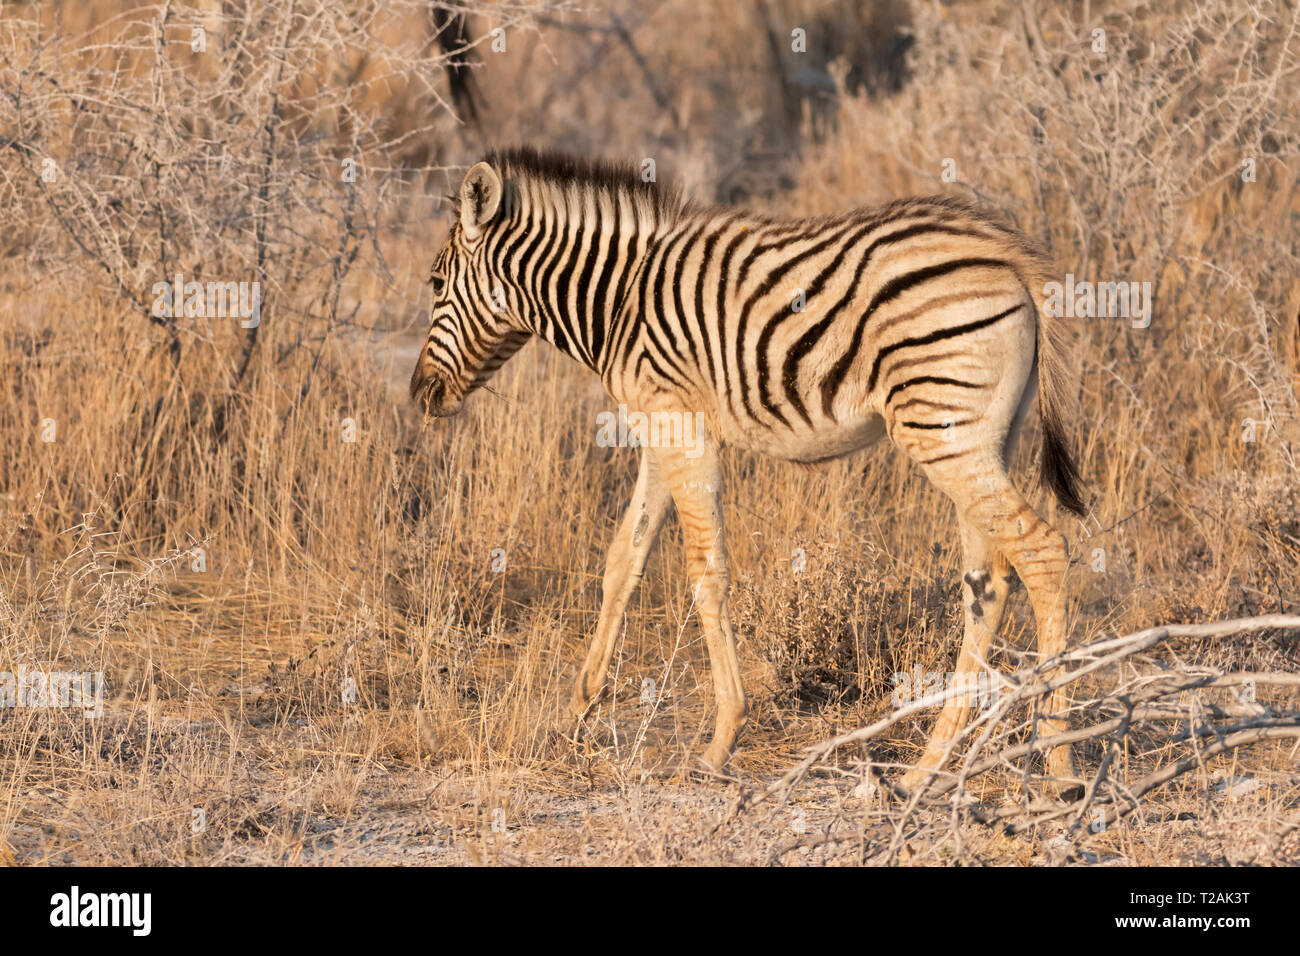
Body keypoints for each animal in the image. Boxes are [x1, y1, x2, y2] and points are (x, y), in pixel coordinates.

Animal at [410, 147, 1086, 789]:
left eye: (437, 283)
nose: (419, 394)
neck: (619, 300)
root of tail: (1006, 253)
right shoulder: (660, 427)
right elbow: (623, 560)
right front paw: (576, 710)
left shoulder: (682, 429)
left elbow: (705, 570)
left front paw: (720, 741)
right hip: (980, 437)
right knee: (988, 581)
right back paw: (931, 767)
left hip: (944, 428)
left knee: (1043, 552)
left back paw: (1056, 767)